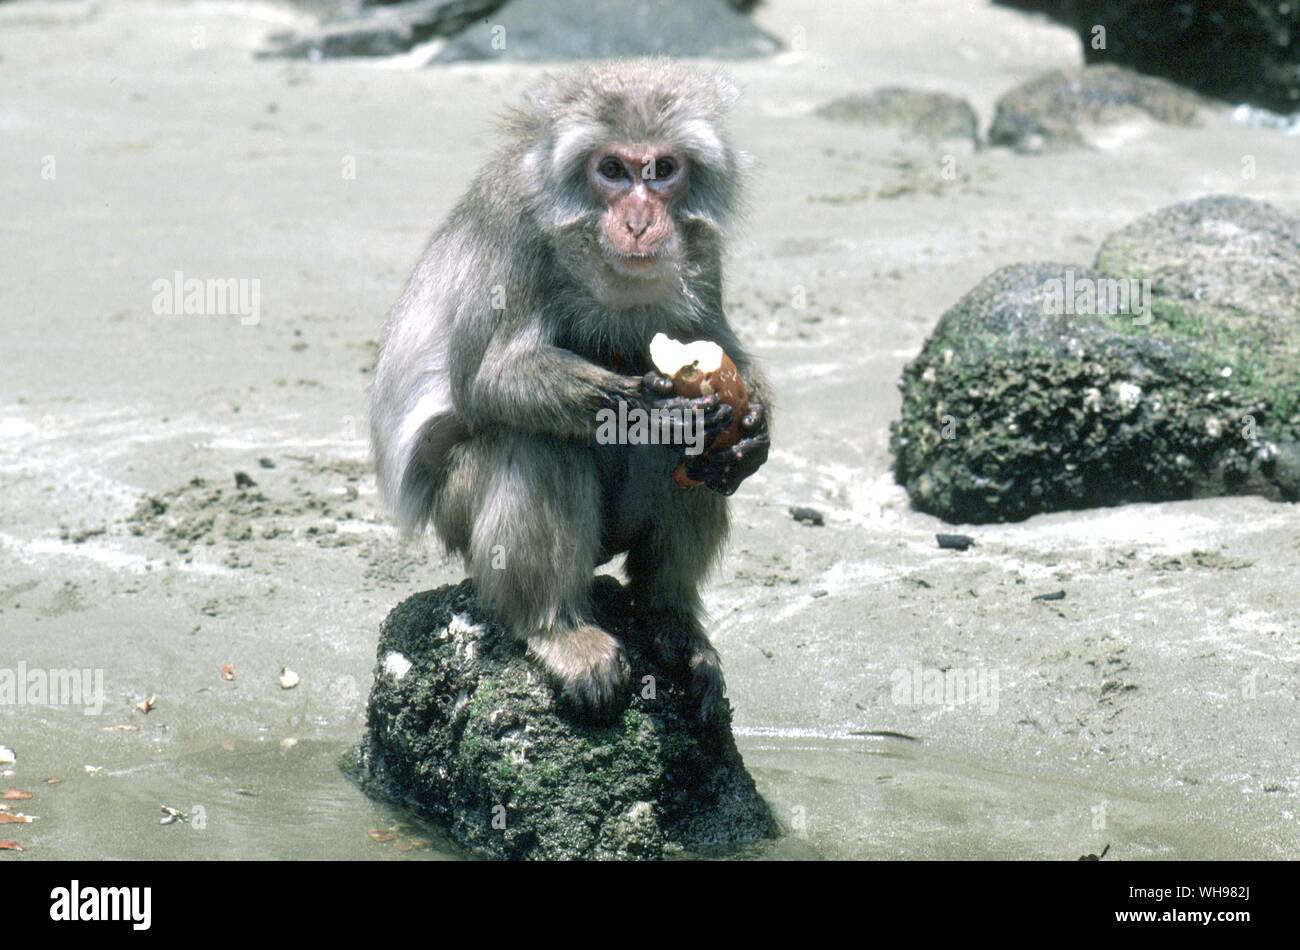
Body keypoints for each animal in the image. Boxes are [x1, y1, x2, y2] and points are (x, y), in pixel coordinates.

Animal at [370, 60, 770, 724]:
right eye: (612, 169)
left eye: (662, 169)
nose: (639, 221)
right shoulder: (515, 229)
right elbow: (491, 379)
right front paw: (649, 410)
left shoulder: (700, 248)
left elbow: (718, 347)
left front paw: (752, 432)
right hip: (454, 513)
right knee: (534, 442)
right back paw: (556, 628)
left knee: (691, 466)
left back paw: (669, 615)